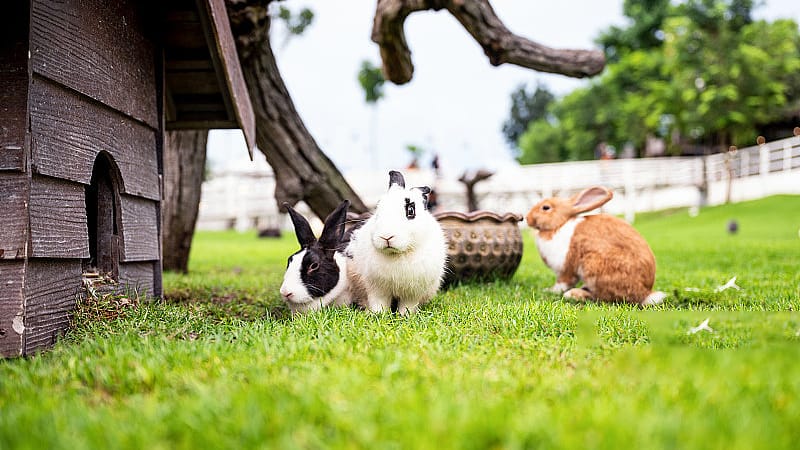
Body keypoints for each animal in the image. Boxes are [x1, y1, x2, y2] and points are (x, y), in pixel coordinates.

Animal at [346, 170, 447, 315]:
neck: (398, 254)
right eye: (378, 209)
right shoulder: (377, 289)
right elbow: (379, 303)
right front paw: (378, 315)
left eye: (410, 211)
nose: (386, 236)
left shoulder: (413, 293)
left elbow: (407, 305)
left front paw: (405, 316)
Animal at [525, 186, 666, 306]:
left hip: (593, 265)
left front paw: (550, 290)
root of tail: (646, 293)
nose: (527, 218)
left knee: (604, 297)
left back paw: (574, 294)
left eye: (546, 207)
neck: (558, 225)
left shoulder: (567, 268)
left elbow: (562, 283)